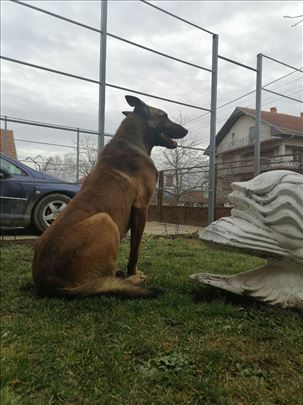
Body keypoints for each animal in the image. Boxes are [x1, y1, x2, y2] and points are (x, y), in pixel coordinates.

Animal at [33, 94, 190, 296]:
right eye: (164, 116)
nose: (186, 130)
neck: (132, 140)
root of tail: (50, 284)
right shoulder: (141, 208)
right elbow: (134, 251)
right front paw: (133, 272)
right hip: (105, 220)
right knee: (108, 276)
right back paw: (132, 280)